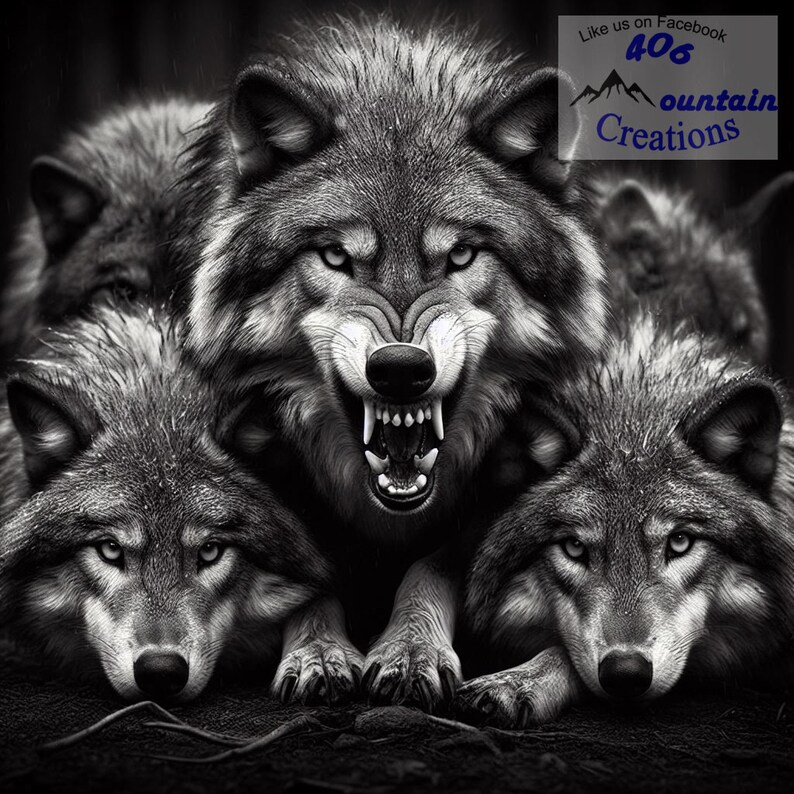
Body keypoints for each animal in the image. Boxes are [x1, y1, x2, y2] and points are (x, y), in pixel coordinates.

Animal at [178, 15, 607, 706]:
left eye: (461, 256)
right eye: (334, 256)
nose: (401, 368)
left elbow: (427, 572)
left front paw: (409, 650)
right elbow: (309, 575)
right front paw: (321, 653)